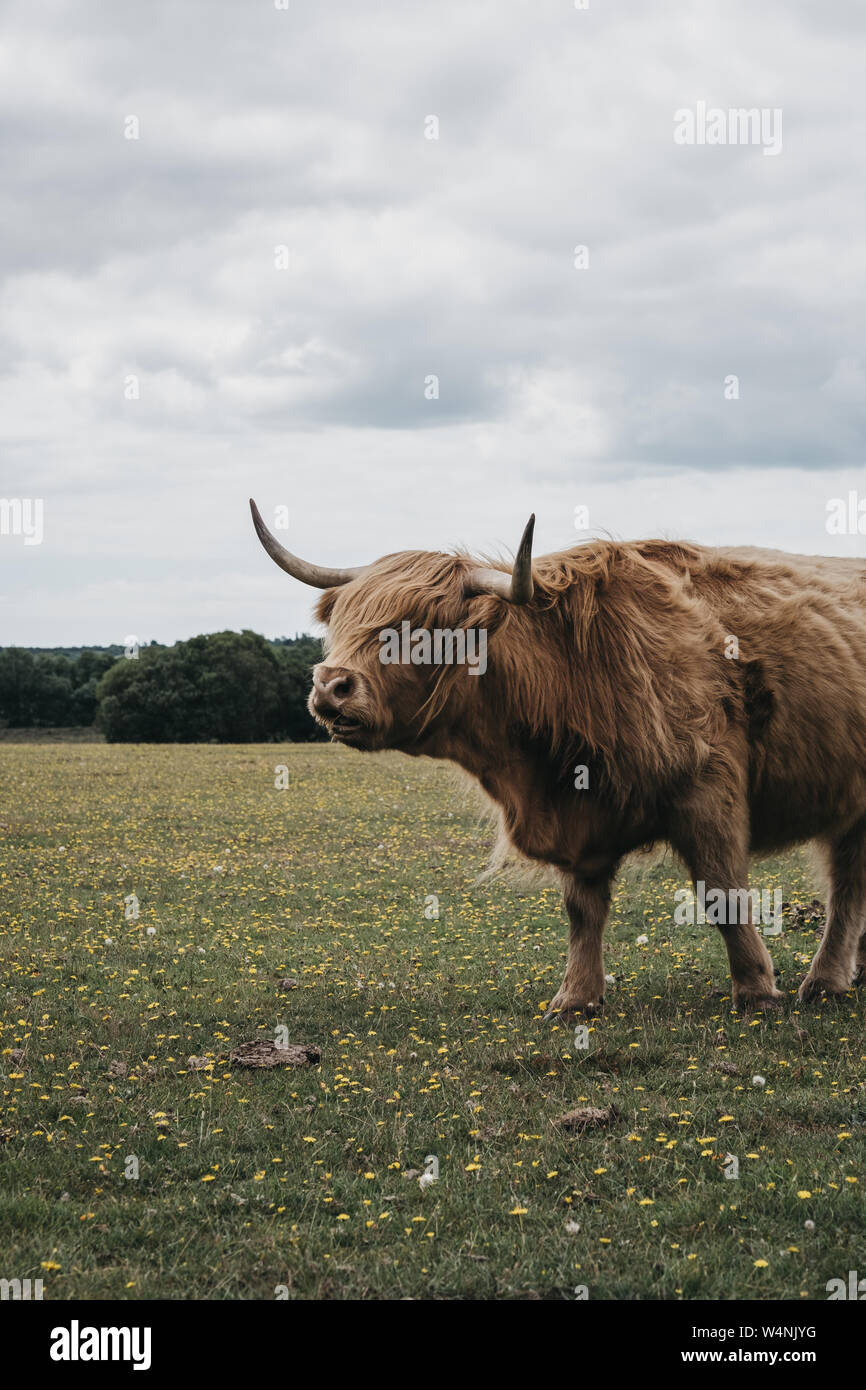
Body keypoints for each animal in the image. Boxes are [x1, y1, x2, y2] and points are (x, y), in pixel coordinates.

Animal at [250, 498, 866, 1017]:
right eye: (343, 622)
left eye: (419, 631)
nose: (330, 687)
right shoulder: (580, 816)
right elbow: (582, 911)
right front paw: (576, 999)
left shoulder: (706, 788)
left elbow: (723, 895)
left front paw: (756, 991)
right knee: (849, 883)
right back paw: (835, 979)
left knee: (844, 888)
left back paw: (821, 983)